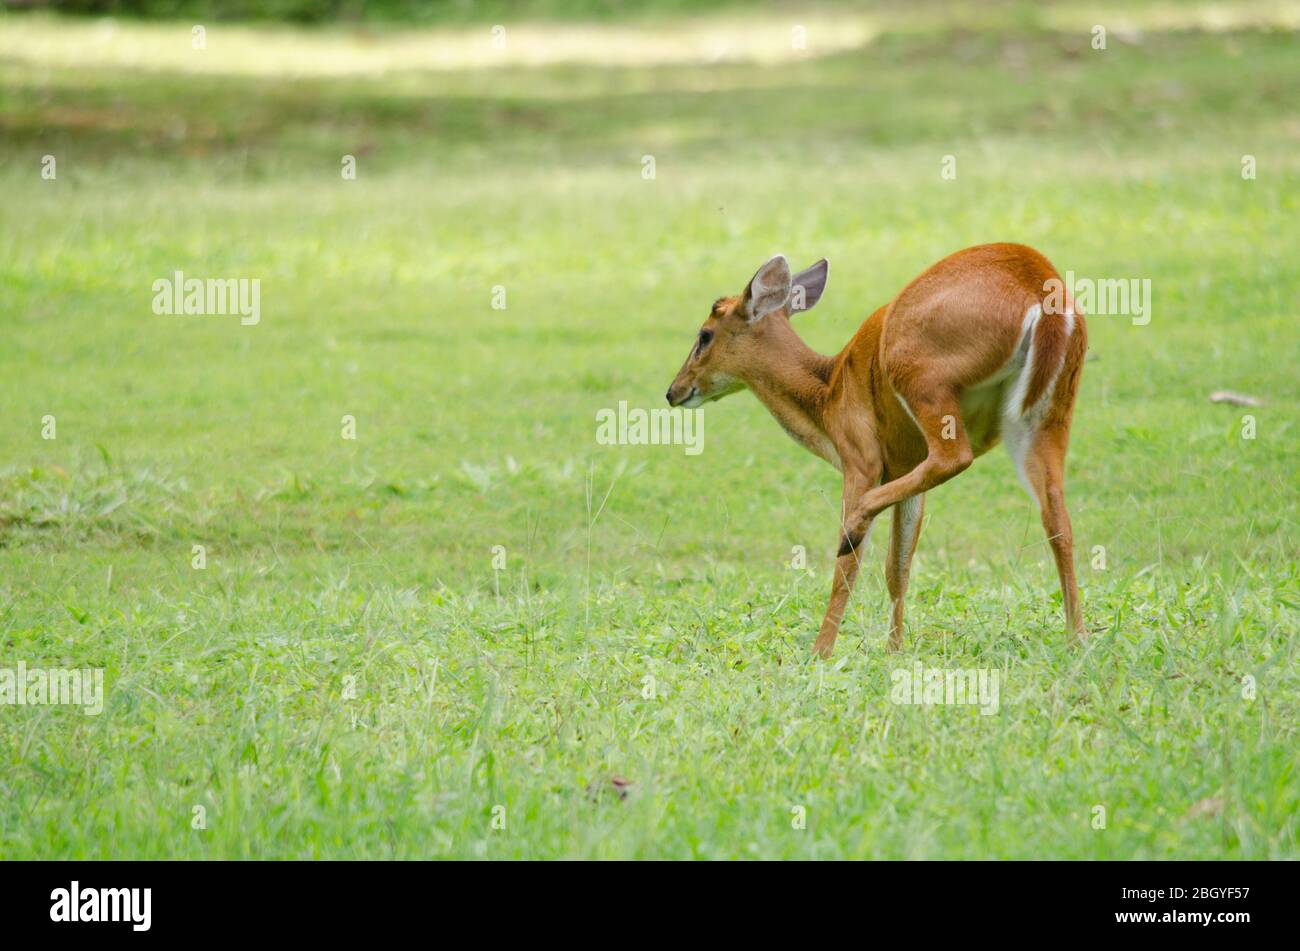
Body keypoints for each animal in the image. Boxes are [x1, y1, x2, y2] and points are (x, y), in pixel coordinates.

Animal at [665, 243, 1088, 657]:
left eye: (705, 334)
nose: (673, 391)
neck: (828, 396)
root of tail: (1039, 287)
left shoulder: (861, 458)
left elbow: (850, 567)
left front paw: (821, 652)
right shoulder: (905, 466)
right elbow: (897, 565)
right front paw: (894, 649)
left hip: (919, 374)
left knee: (953, 458)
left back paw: (854, 527)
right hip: (1048, 414)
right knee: (1058, 517)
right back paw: (1077, 639)